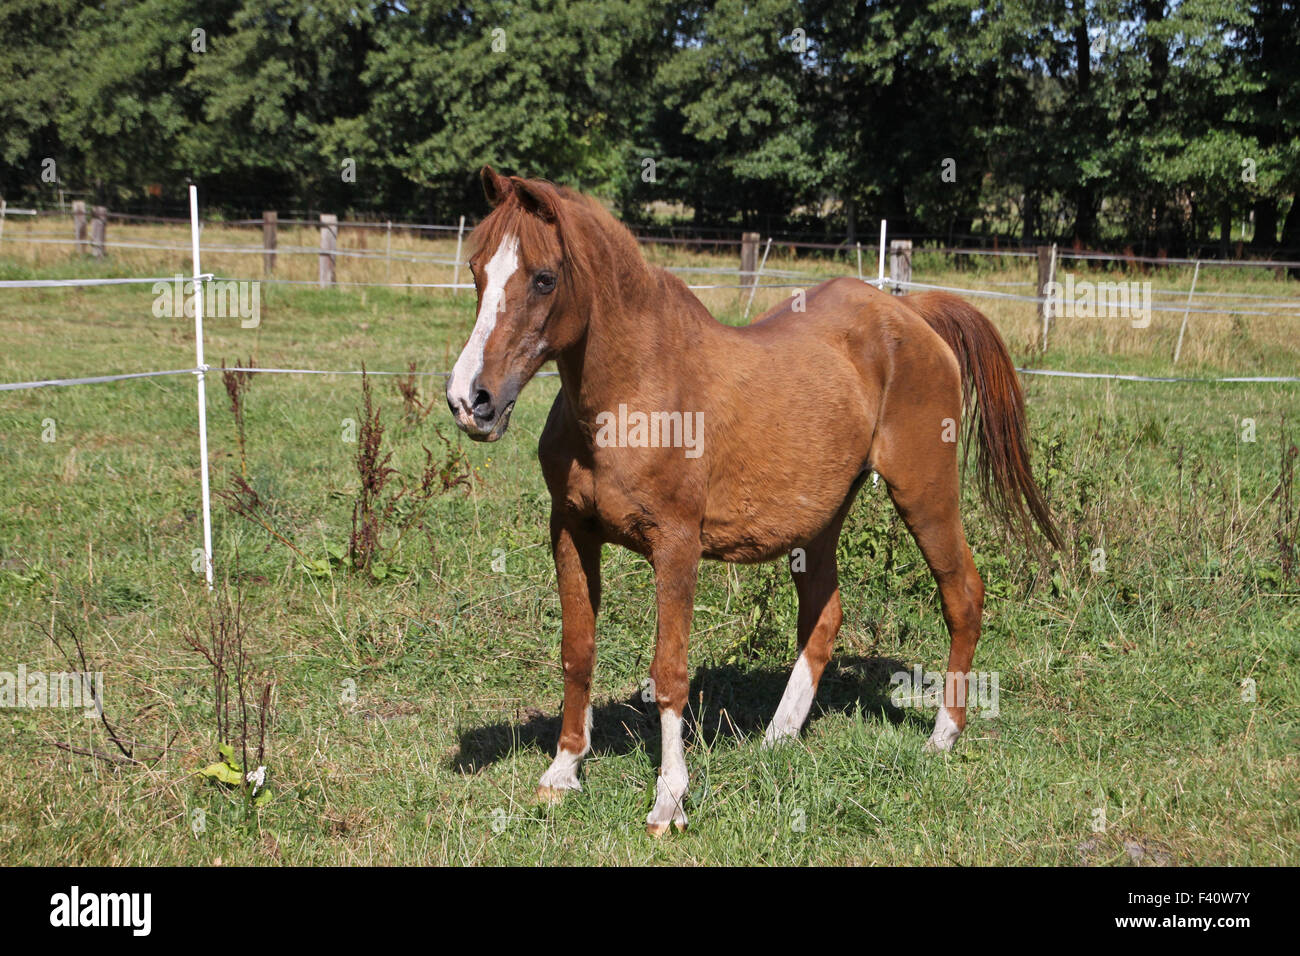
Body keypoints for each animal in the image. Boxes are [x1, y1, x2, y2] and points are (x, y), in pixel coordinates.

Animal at [446, 166, 1060, 836]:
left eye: (544, 278)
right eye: (477, 269)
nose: (470, 401)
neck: (633, 392)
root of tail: (910, 312)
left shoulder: (676, 545)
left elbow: (669, 672)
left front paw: (669, 801)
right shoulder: (571, 531)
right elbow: (577, 652)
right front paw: (562, 774)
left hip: (925, 493)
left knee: (962, 593)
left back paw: (942, 737)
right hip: (820, 519)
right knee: (824, 614)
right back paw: (777, 737)